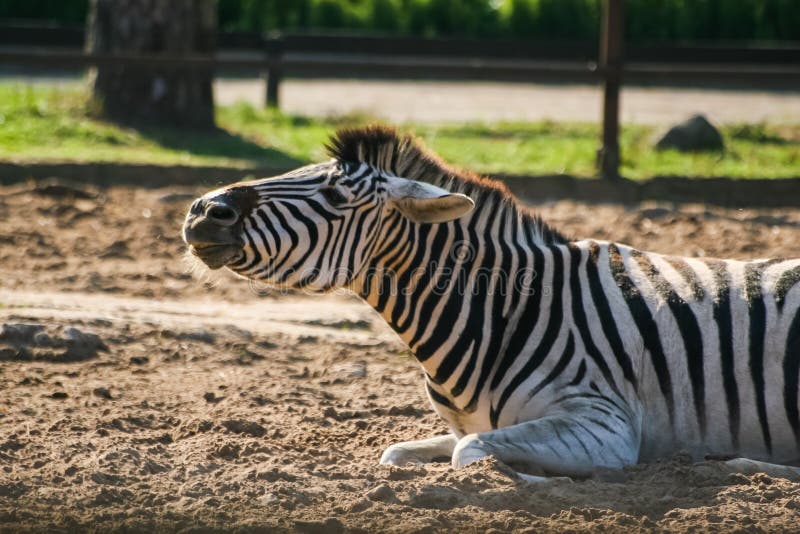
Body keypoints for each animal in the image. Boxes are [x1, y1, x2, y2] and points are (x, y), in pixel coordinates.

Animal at [183, 125, 800, 482]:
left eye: (335, 195)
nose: (202, 211)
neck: (497, 313)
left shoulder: (605, 423)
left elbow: (471, 455)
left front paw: (538, 479)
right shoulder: (466, 425)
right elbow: (399, 452)